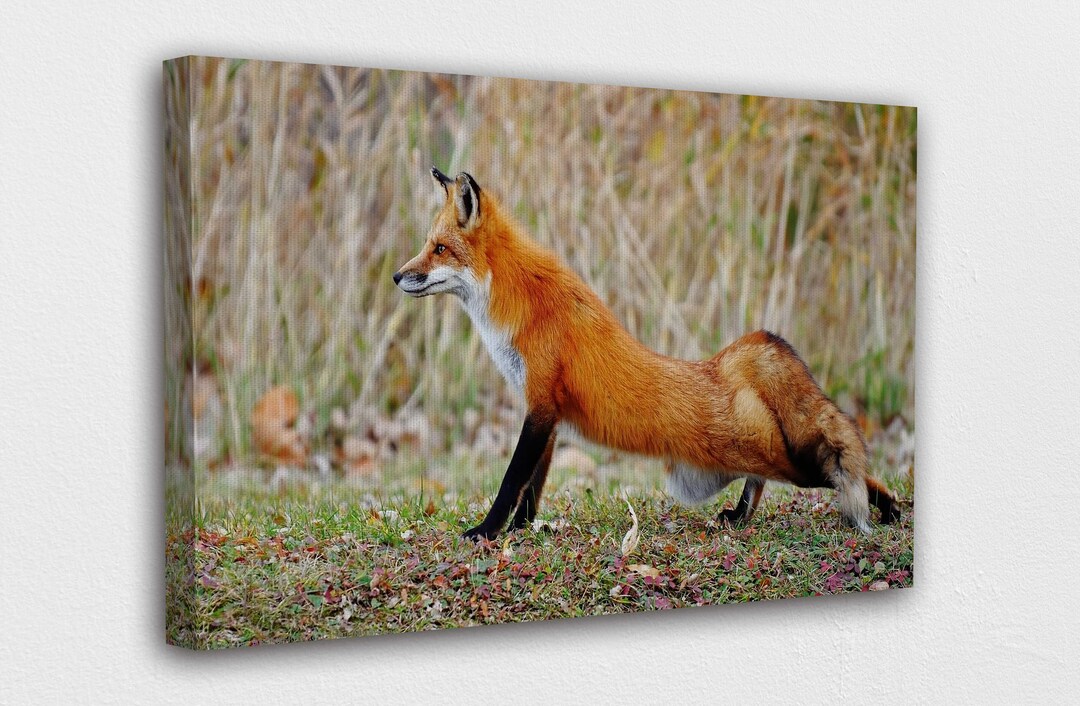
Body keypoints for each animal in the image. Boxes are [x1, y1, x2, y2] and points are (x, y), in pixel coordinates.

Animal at [394, 167, 900, 541]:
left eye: (439, 248)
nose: (398, 276)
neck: (519, 303)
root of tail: (727, 365)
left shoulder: (539, 405)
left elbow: (511, 480)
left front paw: (486, 531)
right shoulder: (548, 412)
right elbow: (533, 486)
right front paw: (522, 530)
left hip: (782, 460)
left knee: (834, 469)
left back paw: (889, 506)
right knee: (767, 480)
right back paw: (742, 515)